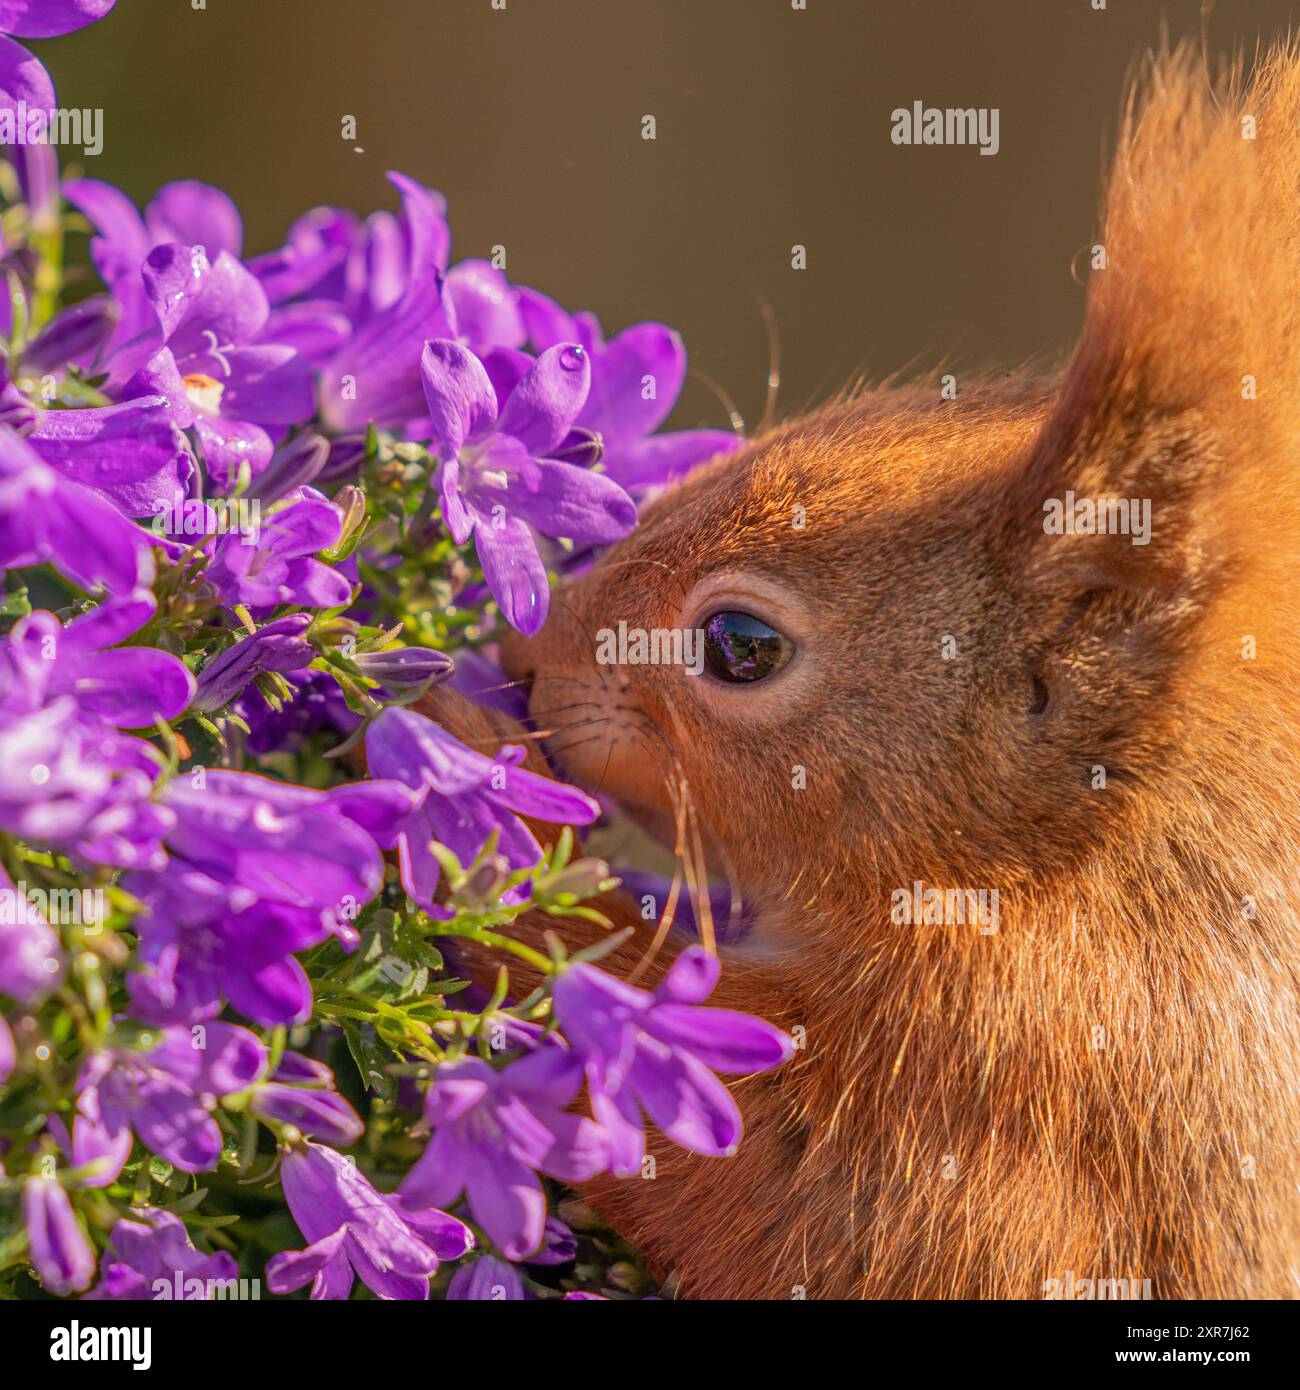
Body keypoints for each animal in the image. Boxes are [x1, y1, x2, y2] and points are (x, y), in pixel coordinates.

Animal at [413, 43, 1300, 1299]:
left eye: (740, 646)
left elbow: (777, 1188)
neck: (1062, 872)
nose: (520, 660)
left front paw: (487, 796)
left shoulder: (1010, 1095)